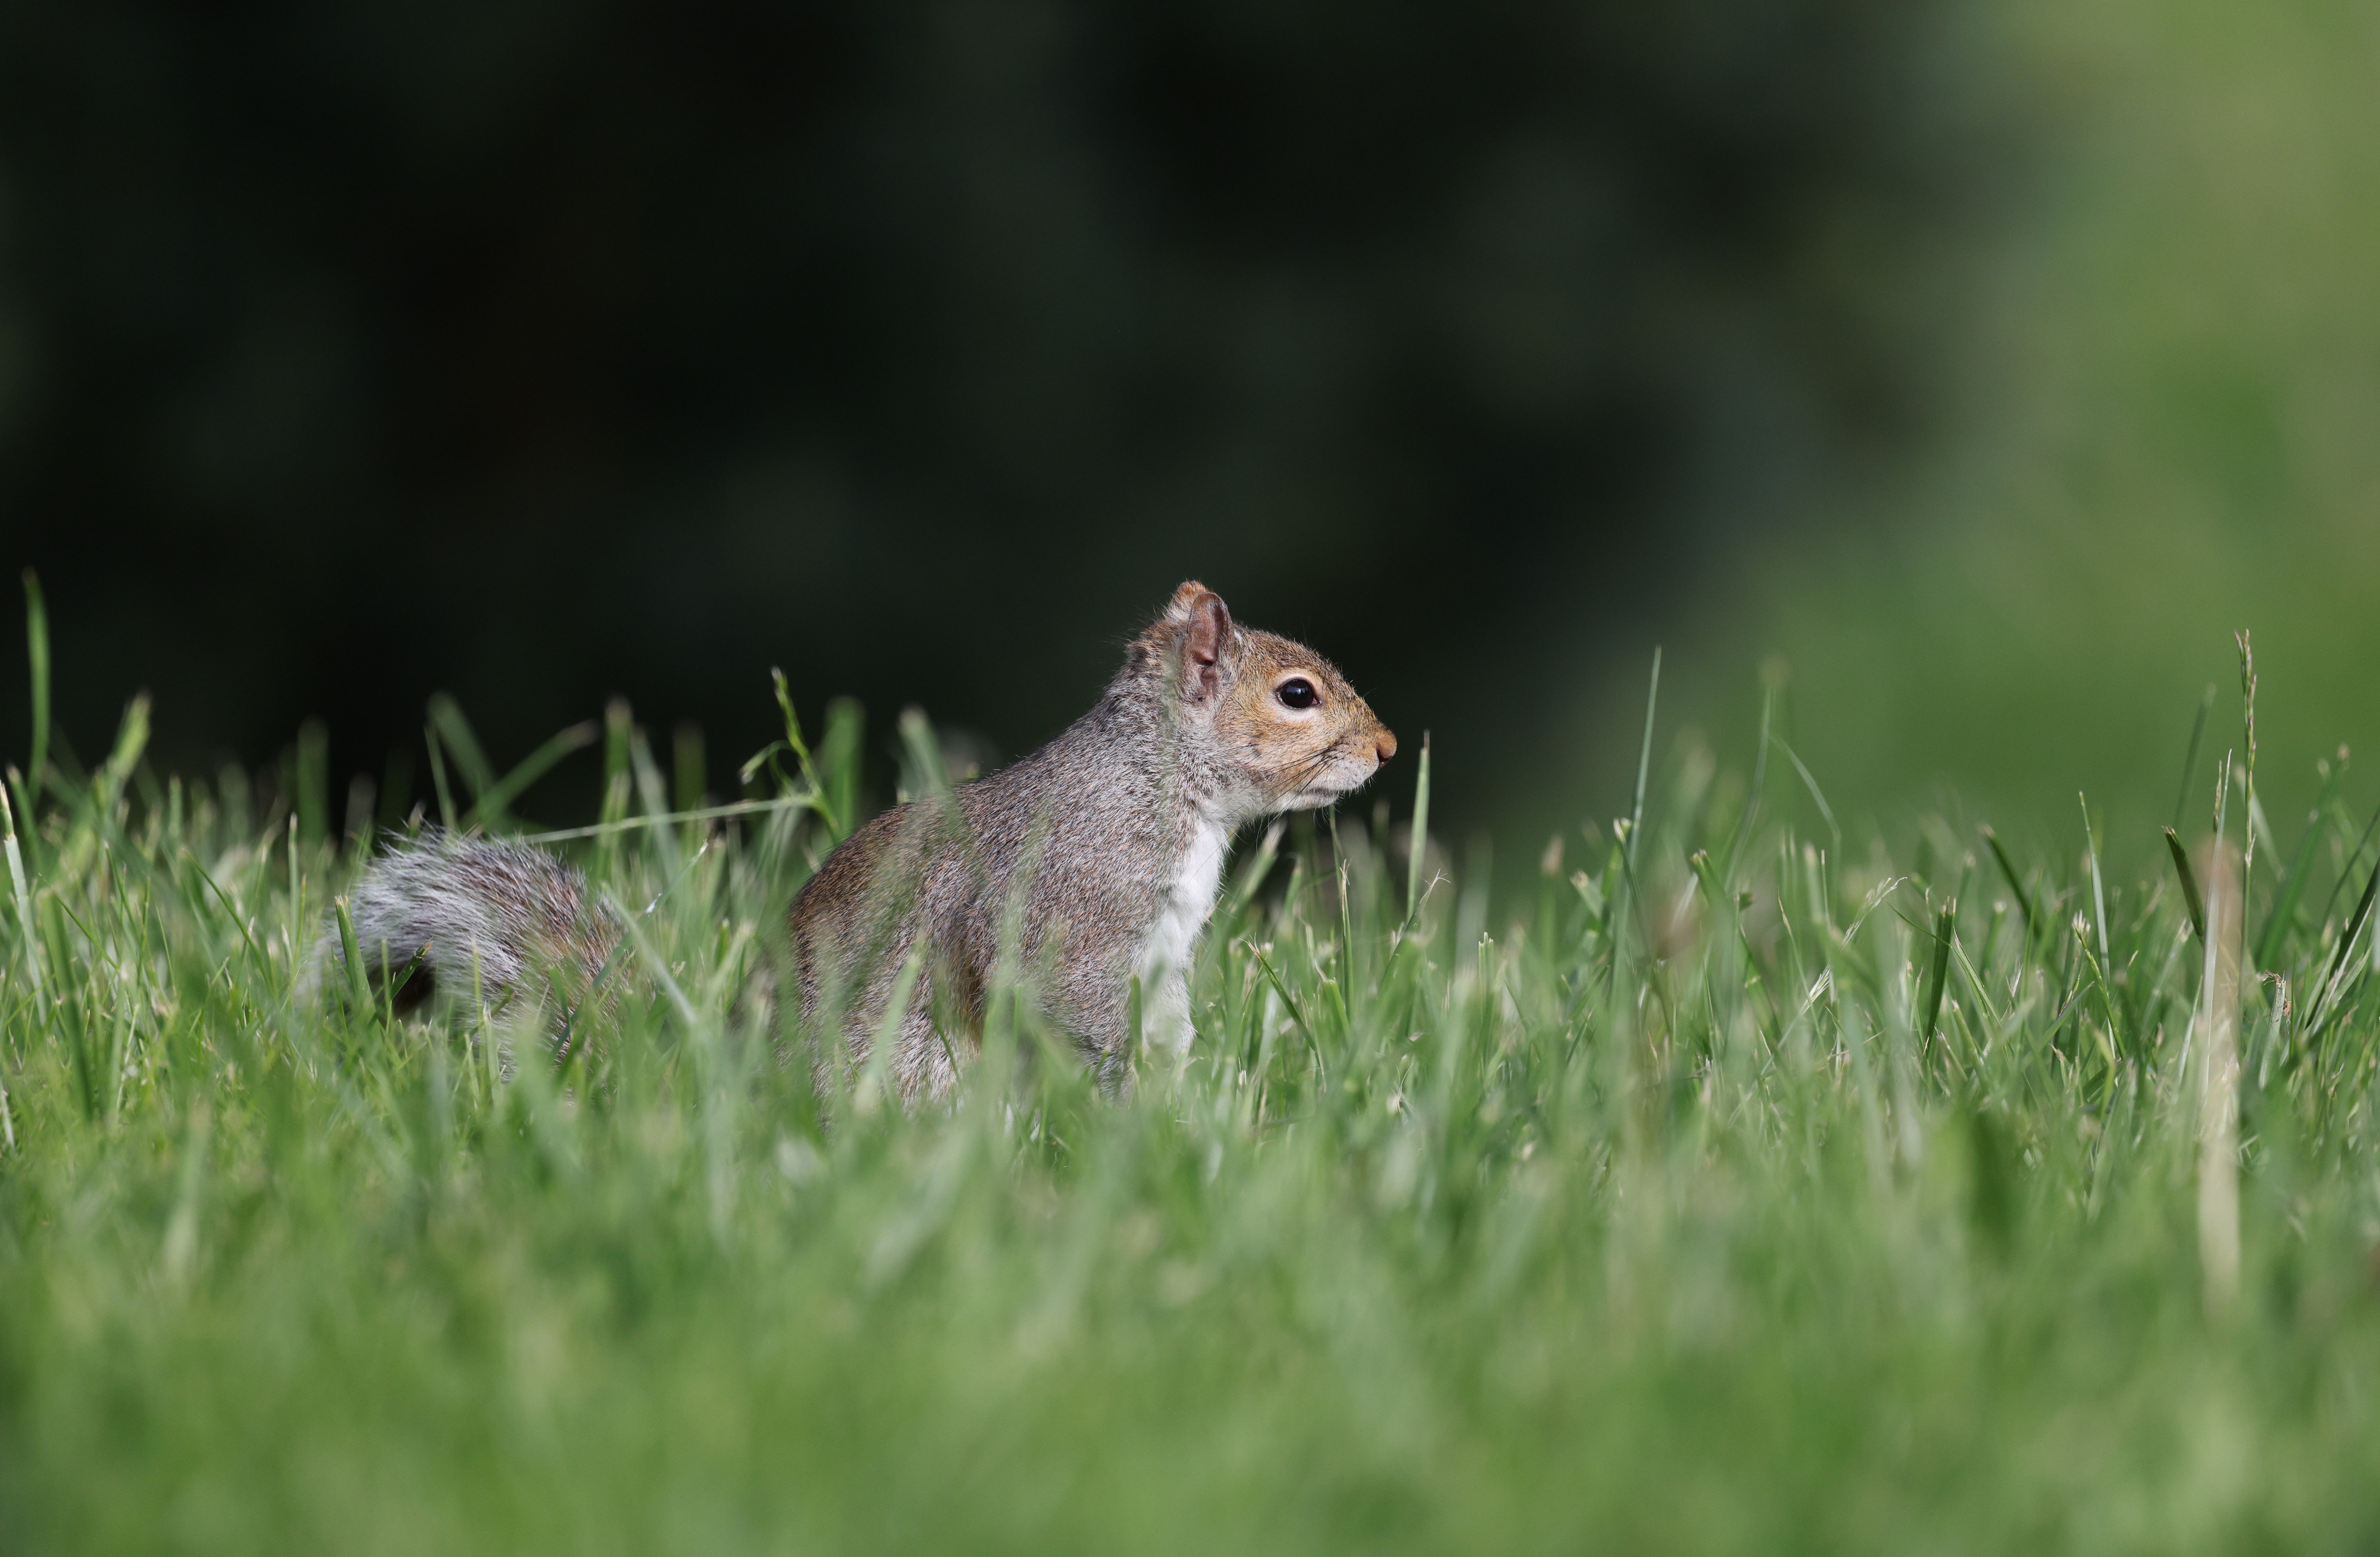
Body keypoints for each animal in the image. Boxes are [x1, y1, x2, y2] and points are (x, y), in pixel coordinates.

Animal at [328, 582, 1396, 1100]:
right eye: (1295, 694)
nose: (1387, 747)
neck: (1157, 784)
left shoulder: (1164, 954)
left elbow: (1166, 1026)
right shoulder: (1078, 907)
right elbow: (1067, 1003)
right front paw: (1126, 1109)